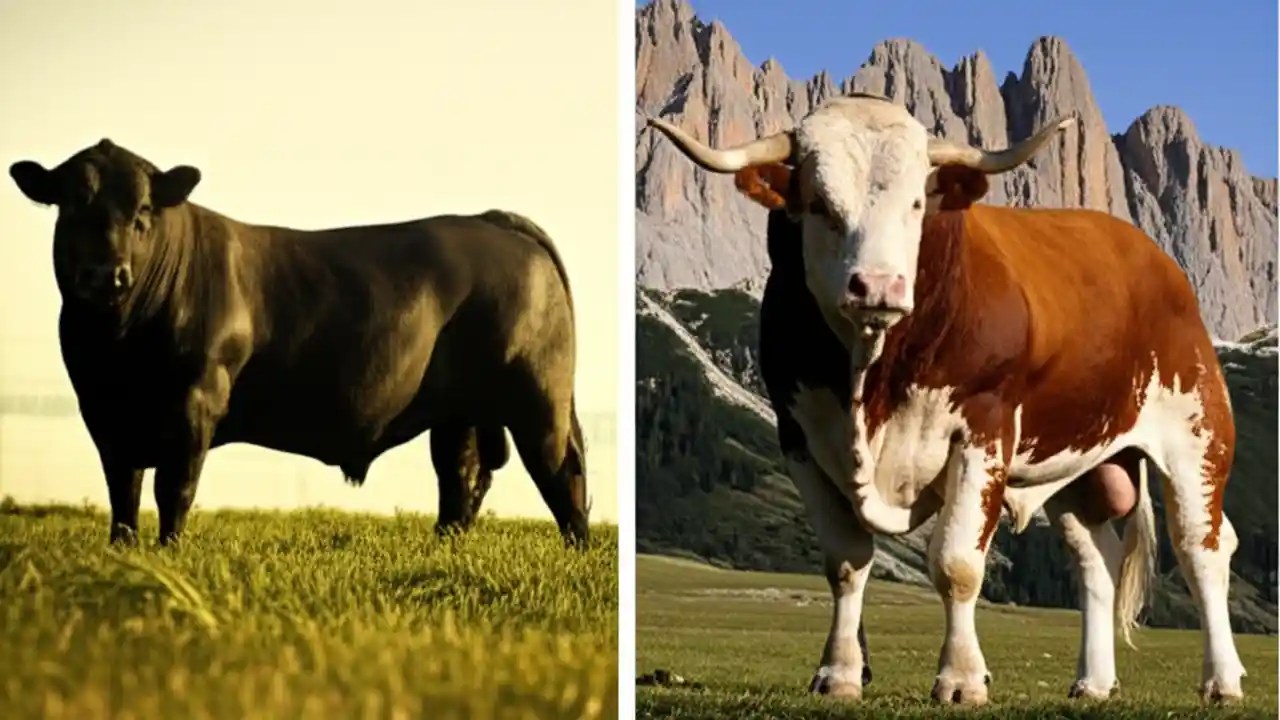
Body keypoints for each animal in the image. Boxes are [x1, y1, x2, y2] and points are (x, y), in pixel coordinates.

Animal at [8, 139, 590, 548]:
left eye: (143, 213)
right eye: (70, 207)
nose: (106, 275)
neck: (118, 343)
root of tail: (489, 220)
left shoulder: (195, 402)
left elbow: (174, 488)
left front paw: (167, 554)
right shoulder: (102, 411)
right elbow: (122, 491)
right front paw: (124, 552)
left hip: (538, 392)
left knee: (563, 466)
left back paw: (577, 551)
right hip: (458, 409)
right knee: (461, 472)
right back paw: (446, 544)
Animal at [646, 93, 1245, 705]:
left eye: (916, 203)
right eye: (817, 204)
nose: (877, 286)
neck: (872, 381)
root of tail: (1152, 258)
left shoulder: (983, 431)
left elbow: (956, 563)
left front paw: (961, 678)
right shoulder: (800, 438)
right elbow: (845, 562)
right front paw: (839, 672)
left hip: (1198, 435)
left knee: (1202, 547)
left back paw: (1222, 680)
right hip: (1077, 467)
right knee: (1095, 560)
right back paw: (1093, 682)